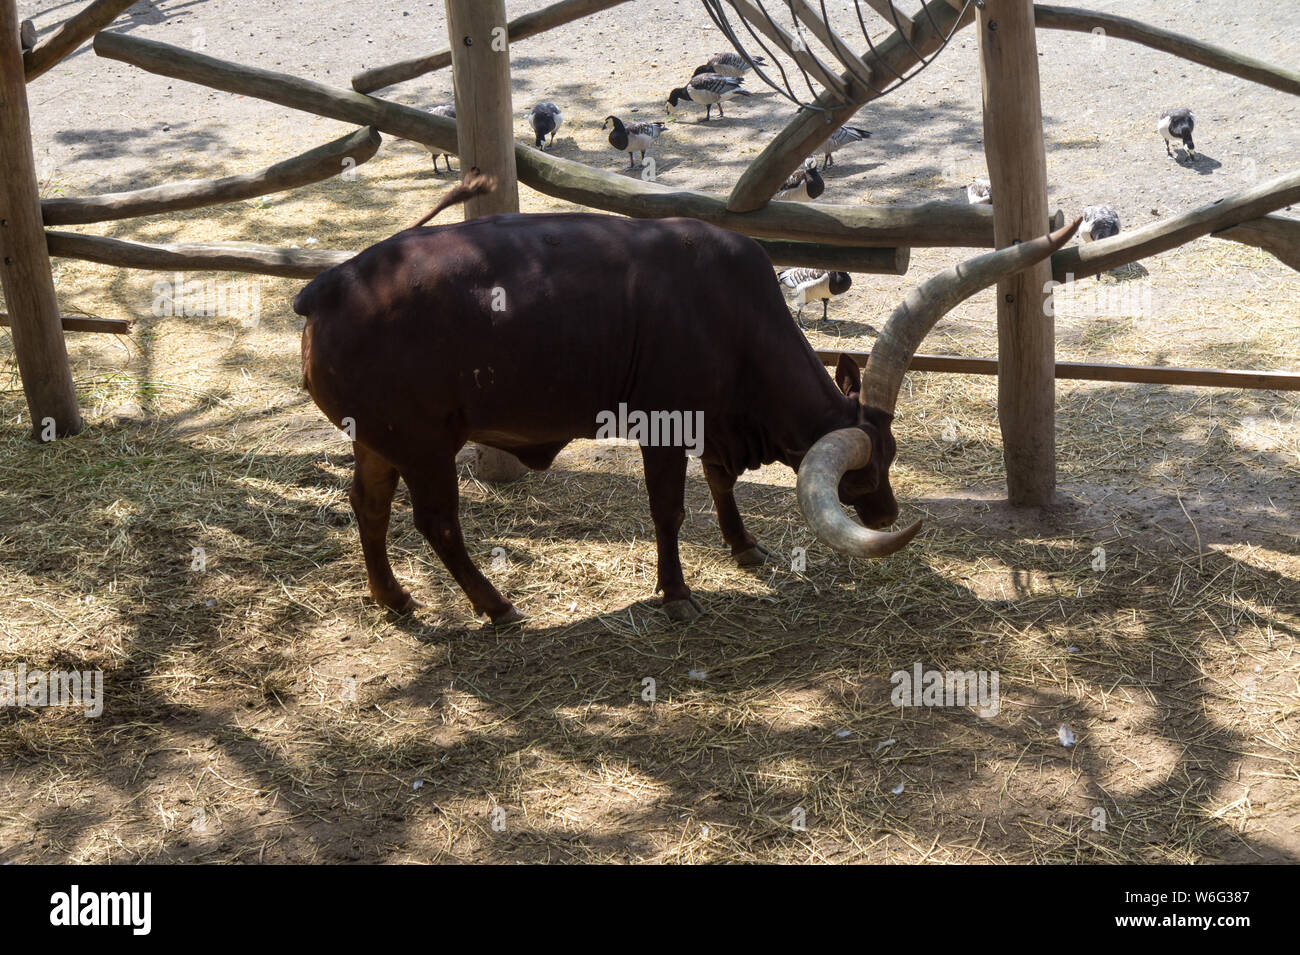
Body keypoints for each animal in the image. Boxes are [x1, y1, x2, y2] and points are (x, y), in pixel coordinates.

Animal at [295, 176, 1078, 624]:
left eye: (890, 455)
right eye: (862, 471)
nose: (885, 513)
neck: (734, 313)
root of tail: (331, 284)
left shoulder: (714, 426)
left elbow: (720, 480)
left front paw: (743, 545)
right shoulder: (665, 428)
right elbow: (670, 508)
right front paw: (676, 593)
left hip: (378, 439)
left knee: (369, 505)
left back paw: (393, 597)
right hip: (424, 444)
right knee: (437, 523)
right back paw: (497, 605)